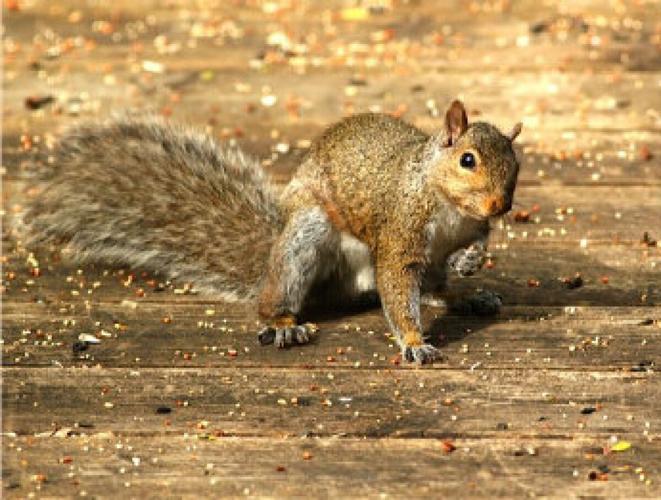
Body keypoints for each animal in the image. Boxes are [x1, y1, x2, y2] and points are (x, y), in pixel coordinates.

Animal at [24, 100, 522, 364]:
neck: (448, 204)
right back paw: (284, 324)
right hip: (307, 238)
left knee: (436, 287)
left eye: (516, 165)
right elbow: (399, 291)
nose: (501, 205)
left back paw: (469, 296)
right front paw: (417, 344)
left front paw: (472, 257)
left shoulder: (467, 227)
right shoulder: (400, 232)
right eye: (468, 160)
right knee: (278, 296)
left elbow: (478, 240)